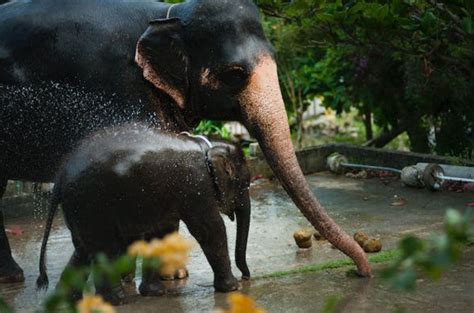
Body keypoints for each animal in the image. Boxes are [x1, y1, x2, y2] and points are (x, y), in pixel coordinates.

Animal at [36, 123, 250, 302]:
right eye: (246, 184)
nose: (247, 276)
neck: (206, 146)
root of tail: (60, 177)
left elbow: (160, 233)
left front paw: (154, 293)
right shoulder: (196, 187)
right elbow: (210, 229)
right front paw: (233, 288)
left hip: (79, 209)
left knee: (83, 250)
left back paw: (70, 300)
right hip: (91, 204)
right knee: (104, 248)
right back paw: (117, 300)